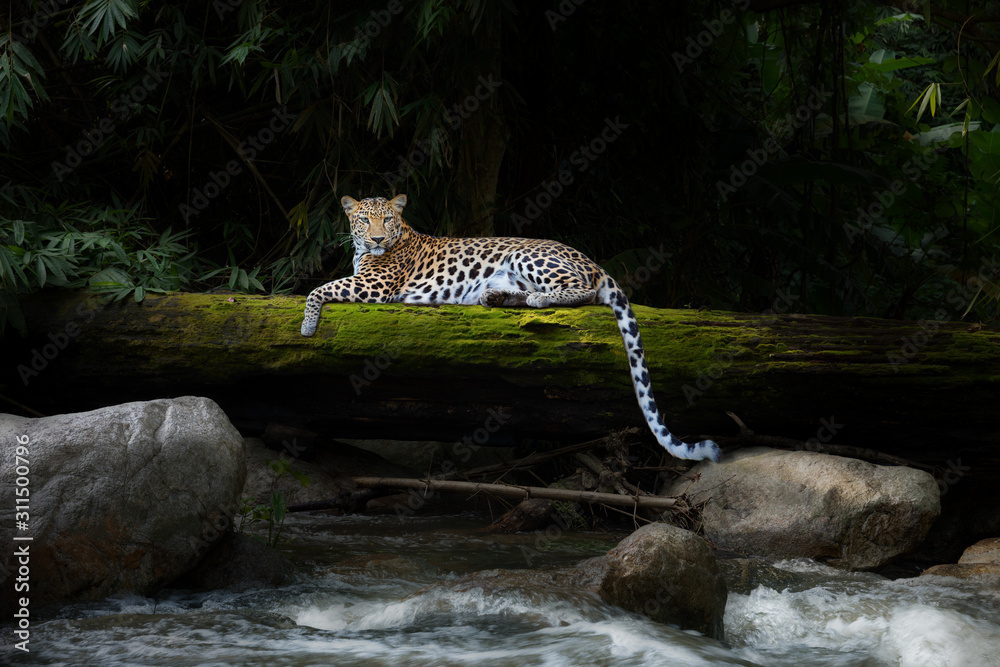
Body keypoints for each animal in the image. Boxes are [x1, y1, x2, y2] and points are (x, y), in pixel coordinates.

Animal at [300, 194, 721, 462]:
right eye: (363, 219)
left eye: (386, 219)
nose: (376, 237)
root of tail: (591, 260)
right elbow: (323, 284)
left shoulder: (373, 285)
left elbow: (319, 288)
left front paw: (306, 324)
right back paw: (496, 297)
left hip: (527, 254)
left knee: (581, 291)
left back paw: (534, 300)